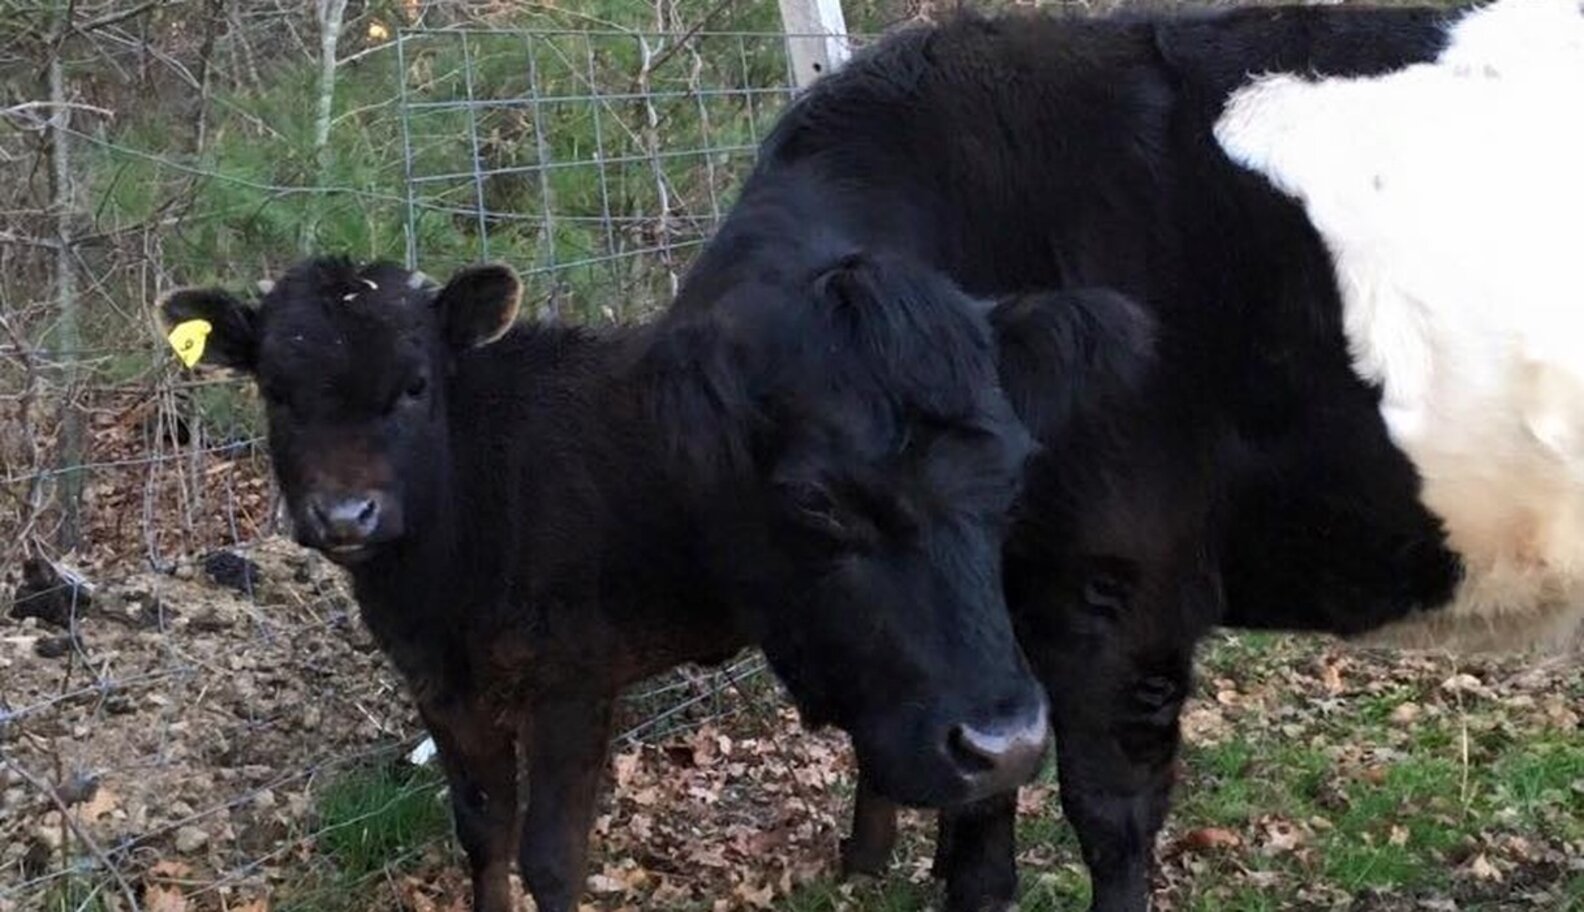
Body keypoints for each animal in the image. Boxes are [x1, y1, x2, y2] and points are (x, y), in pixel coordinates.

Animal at [155, 251, 1052, 912]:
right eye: (277, 391)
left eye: (415, 384)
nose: (346, 514)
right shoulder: (439, 687)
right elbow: (482, 829)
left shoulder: (573, 683)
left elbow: (552, 856)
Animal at [654, 1, 1584, 910]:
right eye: (813, 498)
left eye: (1011, 477)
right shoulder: (990, 659)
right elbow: (982, 808)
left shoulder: (1122, 588)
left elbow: (1109, 811)